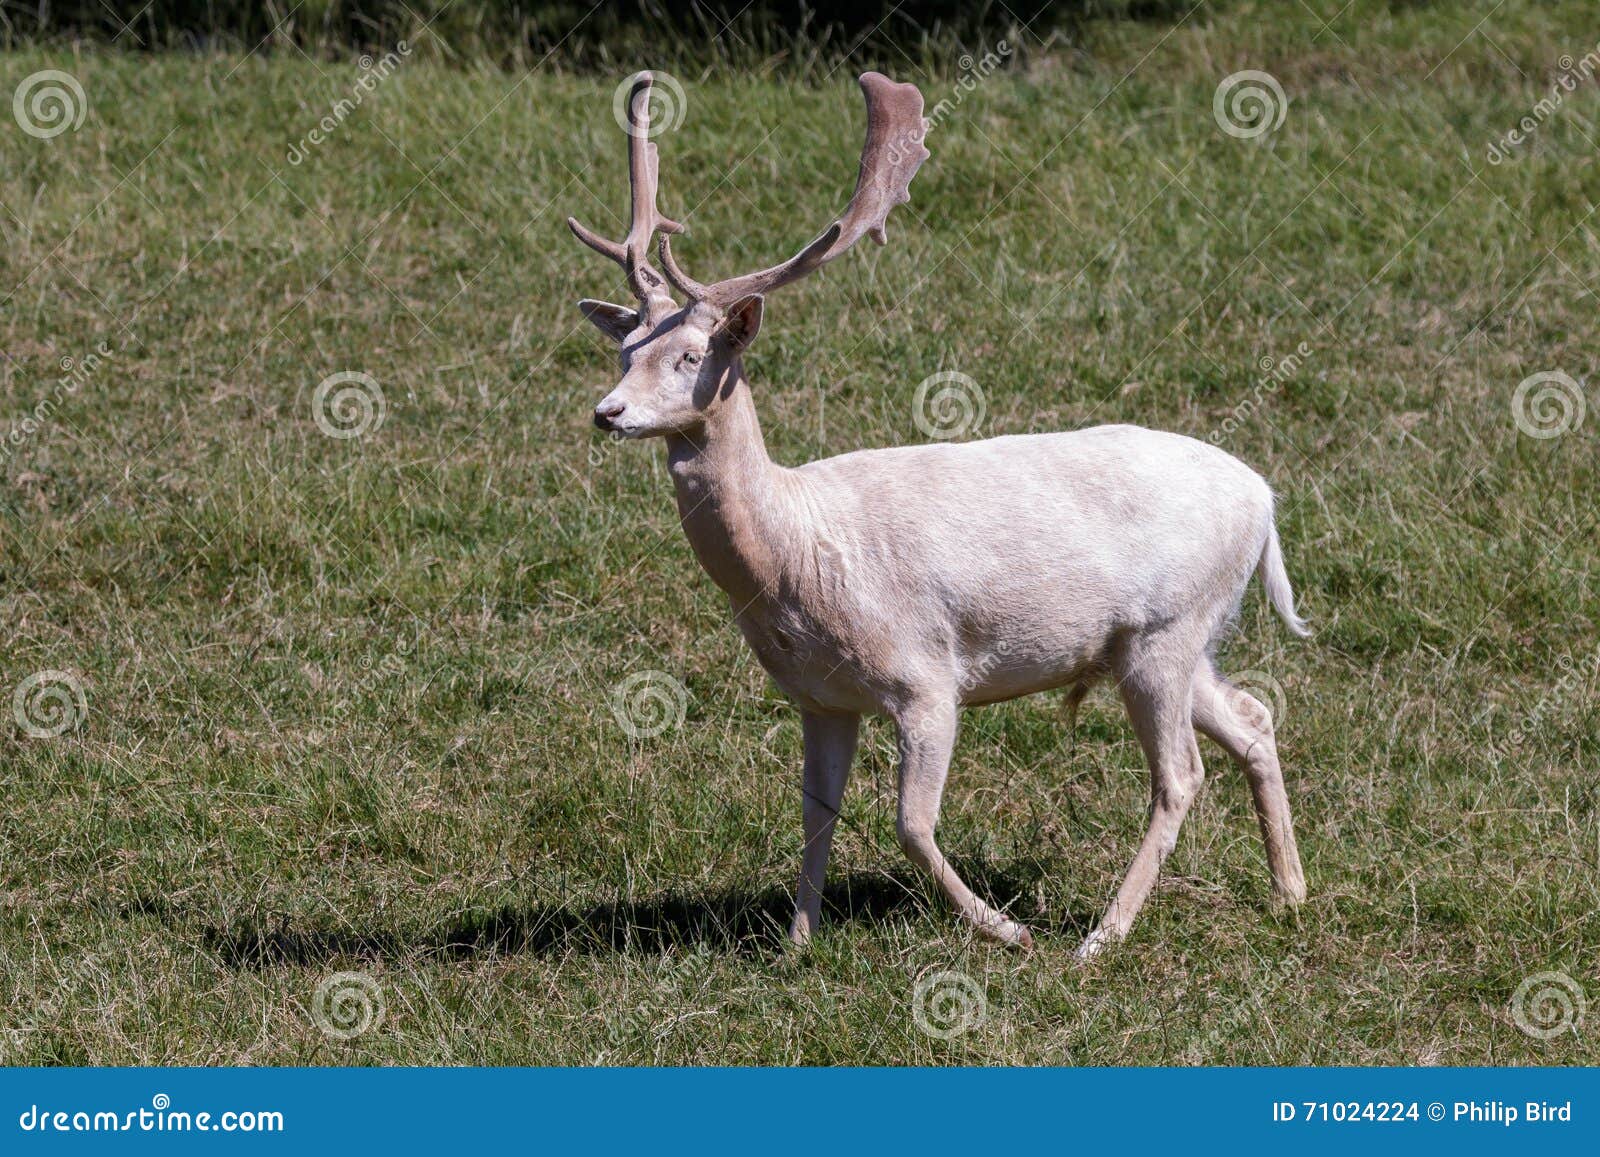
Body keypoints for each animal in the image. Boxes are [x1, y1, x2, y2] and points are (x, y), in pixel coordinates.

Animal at [569, 71, 1310, 958]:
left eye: (690, 356)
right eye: (624, 351)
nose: (607, 412)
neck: (797, 563)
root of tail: (1263, 498)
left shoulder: (925, 677)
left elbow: (911, 824)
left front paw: (1007, 929)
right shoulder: (820, 696)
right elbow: (816, 814)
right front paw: (797, 941)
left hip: (1167, 631)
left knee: (1180, 775)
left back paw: (1102, 935)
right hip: (1173, 638)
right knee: (1253, 716)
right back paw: (1291, 893)